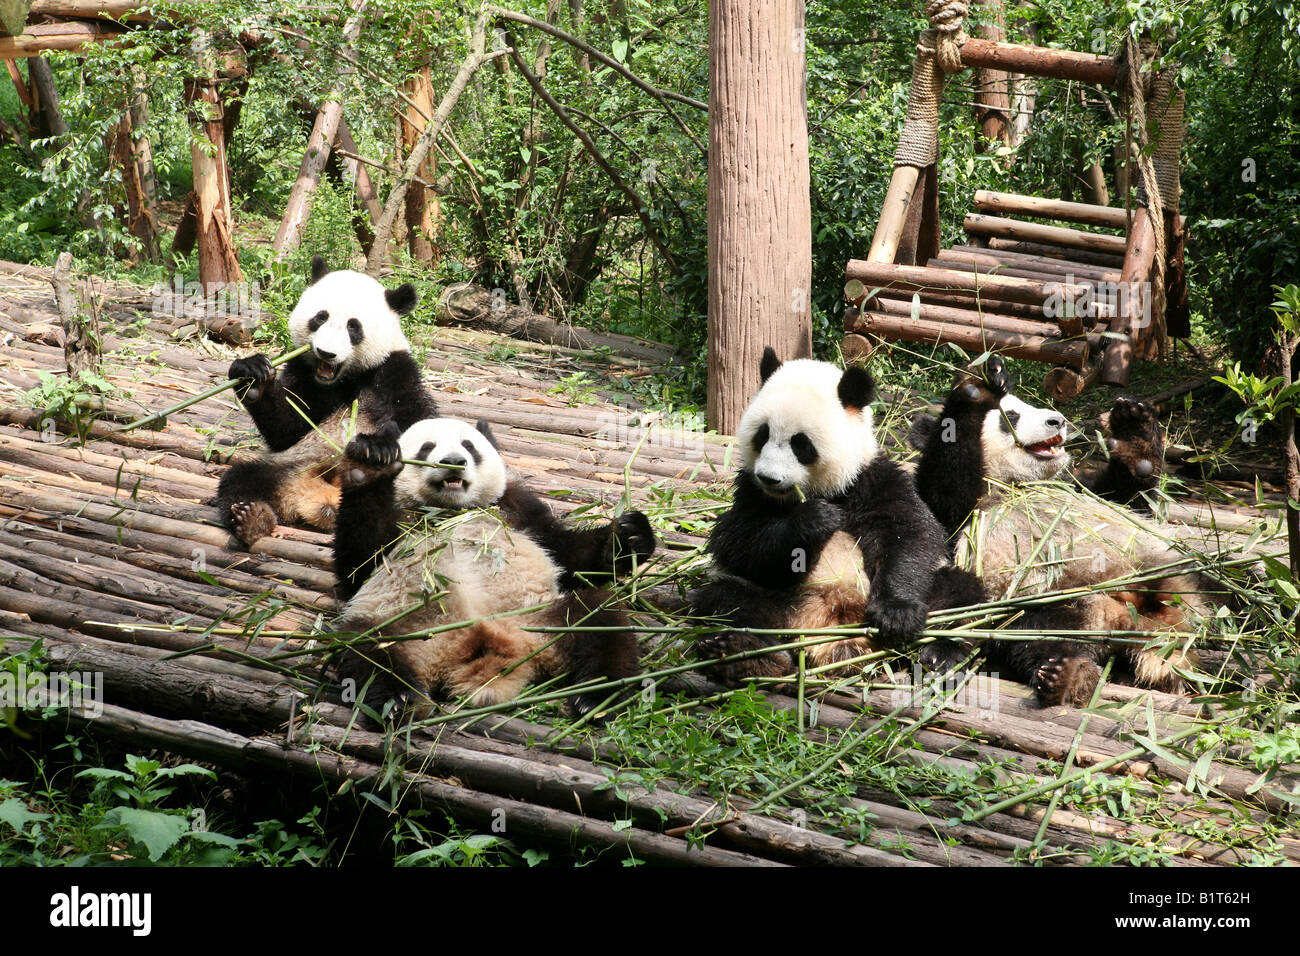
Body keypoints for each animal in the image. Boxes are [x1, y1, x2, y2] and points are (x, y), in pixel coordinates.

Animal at [213, 255, 438, 546]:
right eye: (320, 318)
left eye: (353, 326)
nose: (326, 353)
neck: (344, 378)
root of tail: (321, 500)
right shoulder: (305, 374)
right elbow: (288, 429)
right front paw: (253, 375)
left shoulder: (395, 371)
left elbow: (418, 422)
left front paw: (375, 447)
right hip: (290, 468)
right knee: (241, 479)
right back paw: (253, 518)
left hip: (407, 498)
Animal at [328, 417, 656, 719]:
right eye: (427, 447)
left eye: (469, 446)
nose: (454, 462)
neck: (449, 510)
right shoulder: (399, 525)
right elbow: (360, 562)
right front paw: (371, 462)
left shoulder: (519, 510)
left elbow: (568, 556)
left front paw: (630, 535)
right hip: (407, 628)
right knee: (366, 645)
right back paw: (399, 700)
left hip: (542, 618)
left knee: (600, 618)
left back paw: (597, 695)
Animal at [688, 347, 985, 686]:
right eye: (762, 435)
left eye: (801, 444)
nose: (769, 478)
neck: (825, 490)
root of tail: (828, 629)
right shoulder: (750, 493)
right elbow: (738, 543)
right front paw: (815, 519)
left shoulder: (873, 480)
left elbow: (912, 534)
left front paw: (896, 615)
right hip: (774, 603)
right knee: (727, 599)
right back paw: (750, 655)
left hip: (930, 593)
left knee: (961, 595)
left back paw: (941, 653)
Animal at [909, 356, 1213, 706]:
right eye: (1010, 418)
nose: (1058, 420)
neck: (1013, 485)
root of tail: (1121, 615)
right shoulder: (955, 513)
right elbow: (948, 480)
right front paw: (976, 386)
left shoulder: (1084, 490)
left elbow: (1128, 499)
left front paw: (1135, 432)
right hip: (1031, 602)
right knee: (1023, 629)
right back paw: (1066, 675)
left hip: (1170, 572)